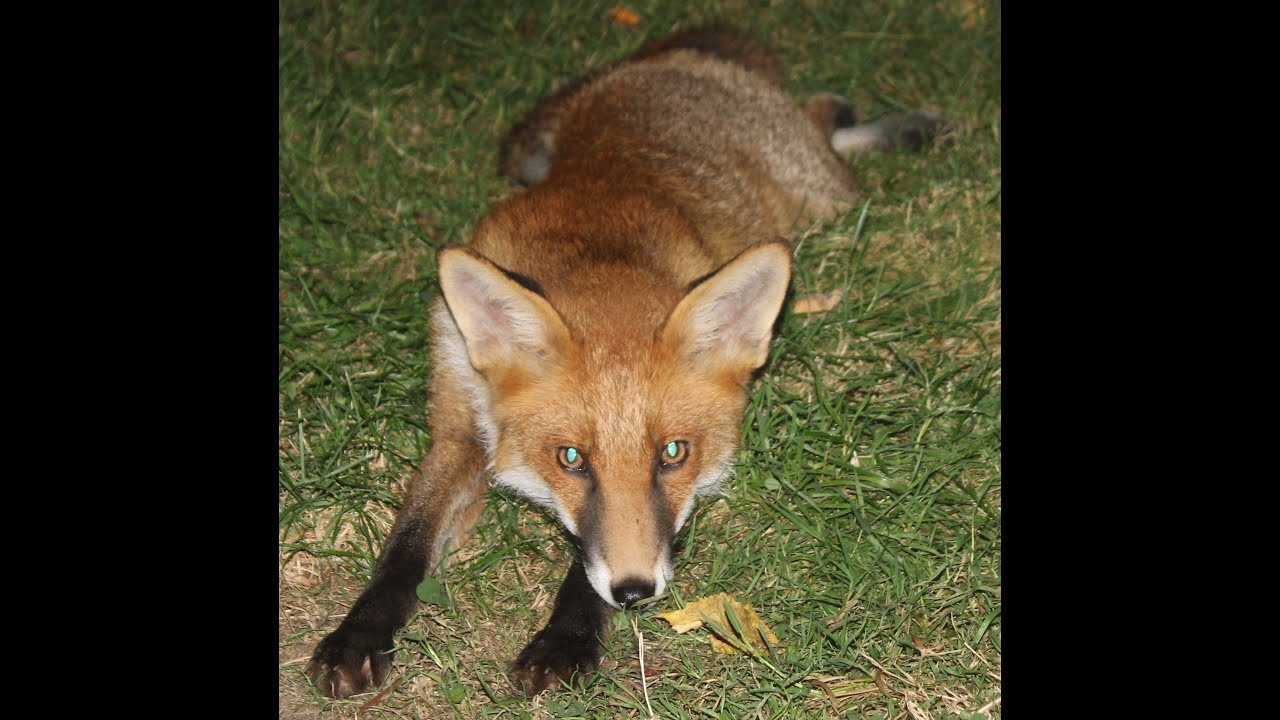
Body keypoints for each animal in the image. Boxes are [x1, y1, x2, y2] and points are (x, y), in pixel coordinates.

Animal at [307, 25, 946, 698]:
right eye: (570, 459)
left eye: (674, 454)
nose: (636, 591)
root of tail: (649, 66)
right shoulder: (456, 425)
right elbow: (405, 547)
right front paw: (357, 636)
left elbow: (582, 573)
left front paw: (565, 640)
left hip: (823, 197)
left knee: (824, 122)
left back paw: (907, 126)